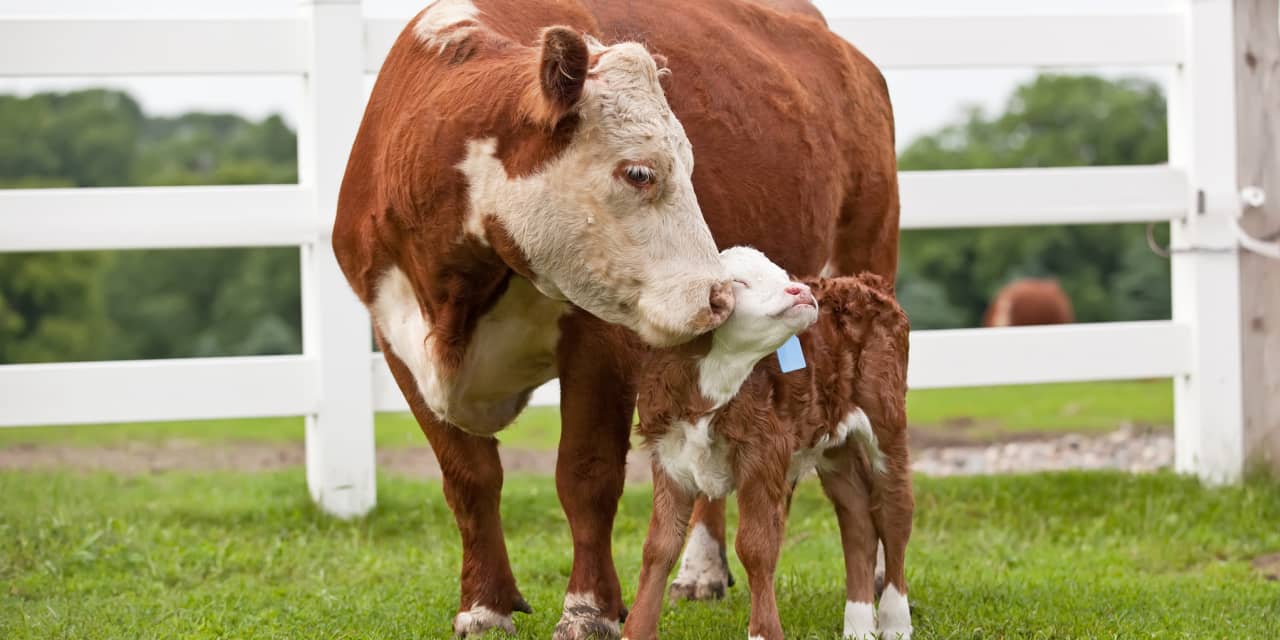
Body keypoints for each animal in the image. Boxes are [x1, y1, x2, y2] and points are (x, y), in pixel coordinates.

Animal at [628, 247, 913, 640]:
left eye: (783, 275)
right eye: (738, 281)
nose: (800, 290)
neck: (711, 387)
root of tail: (863, 282)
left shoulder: (762, 453)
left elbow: (756, 546)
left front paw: (763, 631)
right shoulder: (669, 456)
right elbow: (659, 547)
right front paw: (635, 629)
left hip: (886, 420)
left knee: (894, 512)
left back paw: (895, 622)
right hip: (833, 445)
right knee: (858, 520)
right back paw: (857, 628)